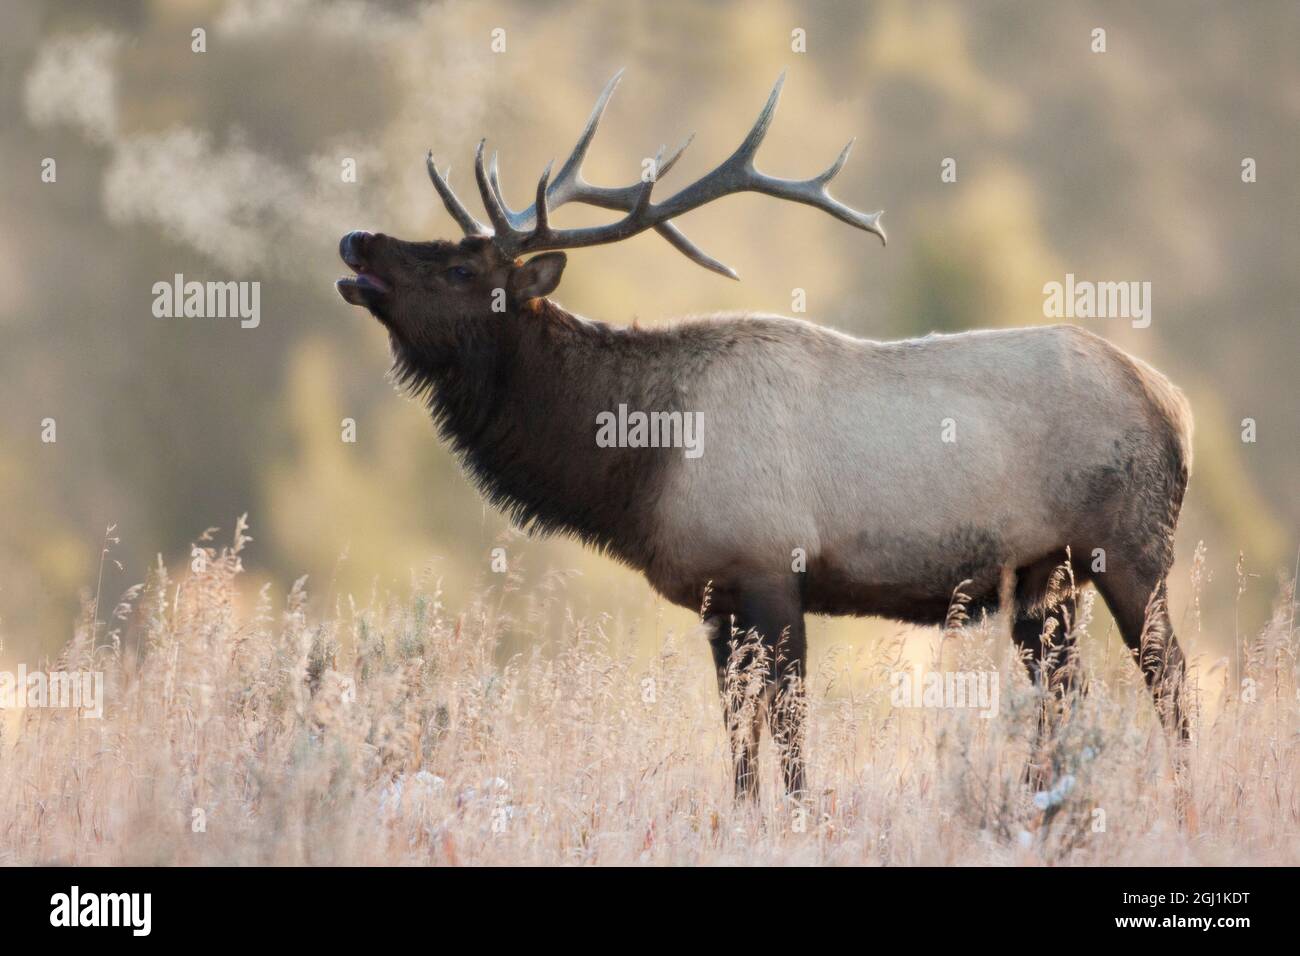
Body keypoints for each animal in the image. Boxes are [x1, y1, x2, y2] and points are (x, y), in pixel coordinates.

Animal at [336, 73, 1193, 802]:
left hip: (1132, 551)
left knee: (1170, 681)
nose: (355, 241)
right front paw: (748, 815)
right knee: (1065, 701)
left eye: (460, 268)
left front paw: (803, 816)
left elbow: (788, 727)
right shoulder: (719, 598)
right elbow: (739, 738)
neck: (642, 461)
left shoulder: (771, 570)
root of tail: (1177, 407)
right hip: (1048, 581)